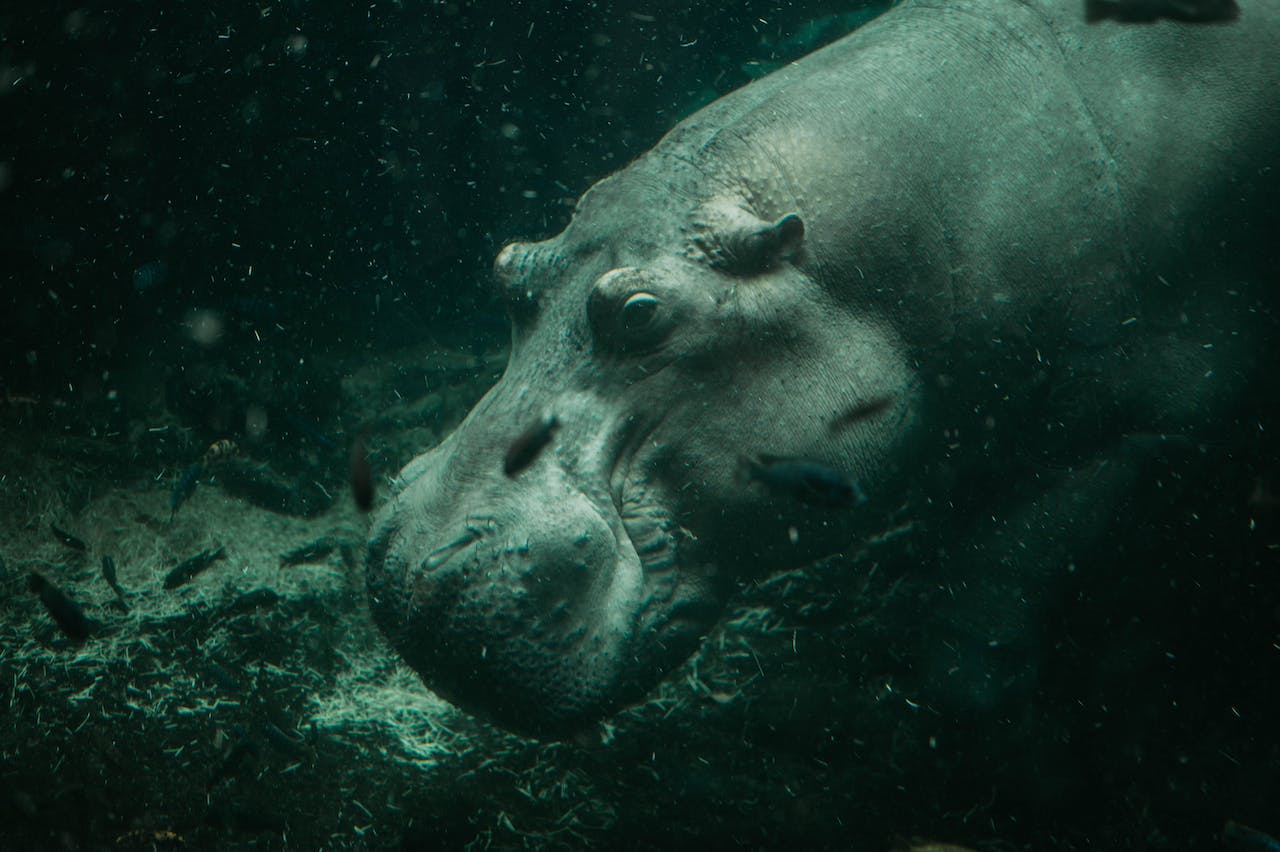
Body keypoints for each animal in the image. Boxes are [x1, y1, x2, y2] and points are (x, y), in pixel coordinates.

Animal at [366, 0, 1280, 738]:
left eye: (641, 313)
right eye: (510, 268)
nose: (411, 570)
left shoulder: (1142, 419)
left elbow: (1006, 568)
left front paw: (972, 683)